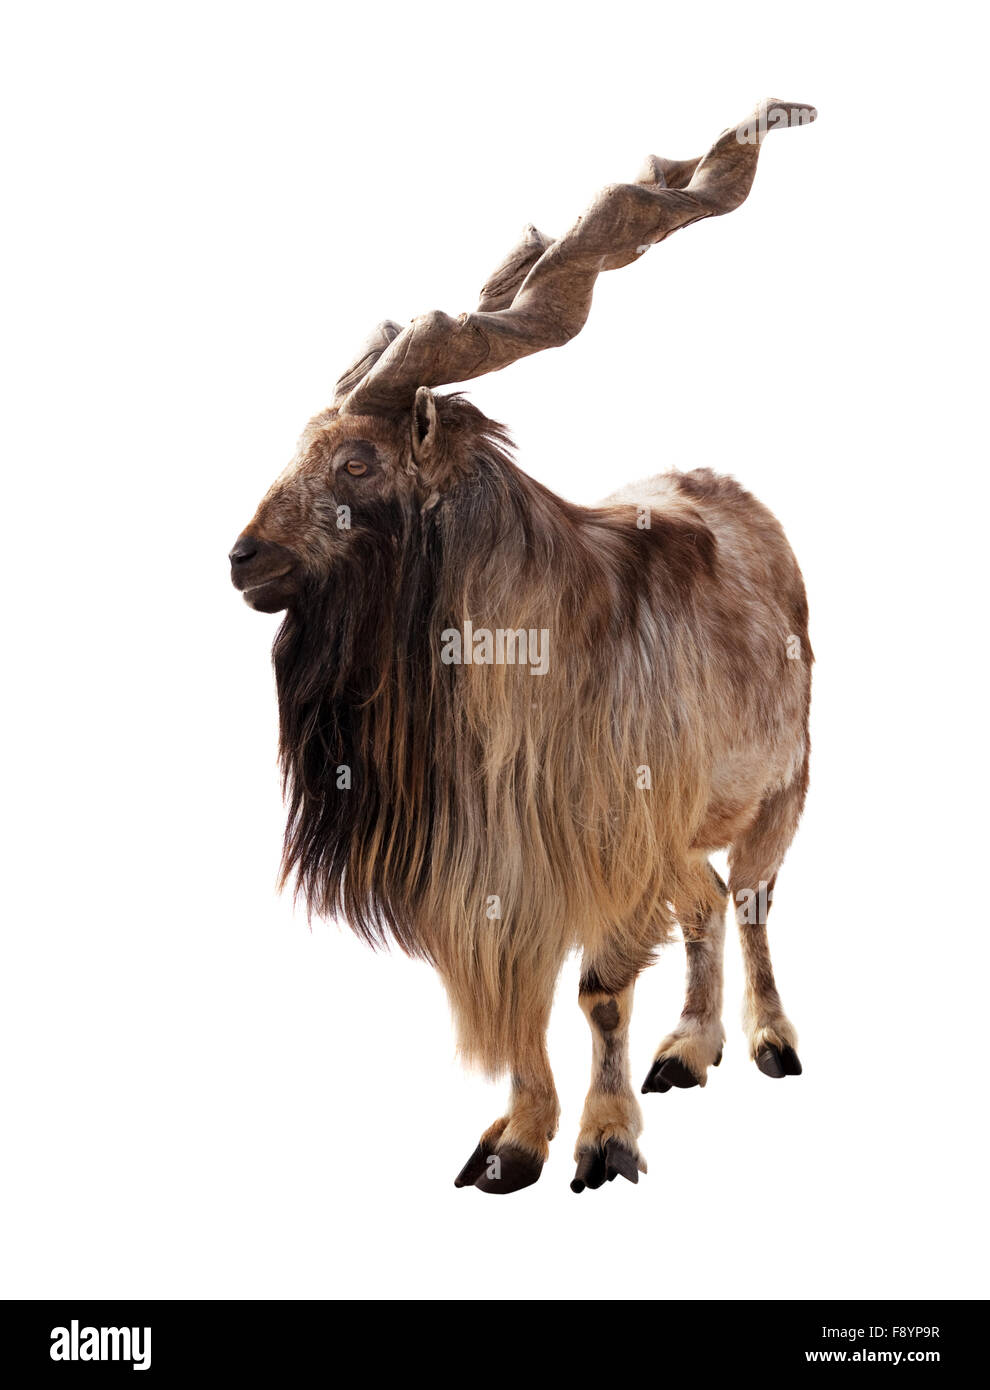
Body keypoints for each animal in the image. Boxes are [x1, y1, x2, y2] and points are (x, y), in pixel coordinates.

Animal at [229, 100, 816, 1194]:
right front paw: (513, 1143)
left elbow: (596, 992)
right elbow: (528, 1007)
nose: (245, 559)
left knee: (753, 900)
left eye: (357, 459)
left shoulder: (614, 847)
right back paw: (690, 1050)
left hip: (779, 793)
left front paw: (604, 1143)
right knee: (709, 901)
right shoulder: (511, 878)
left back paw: (768, 1041)